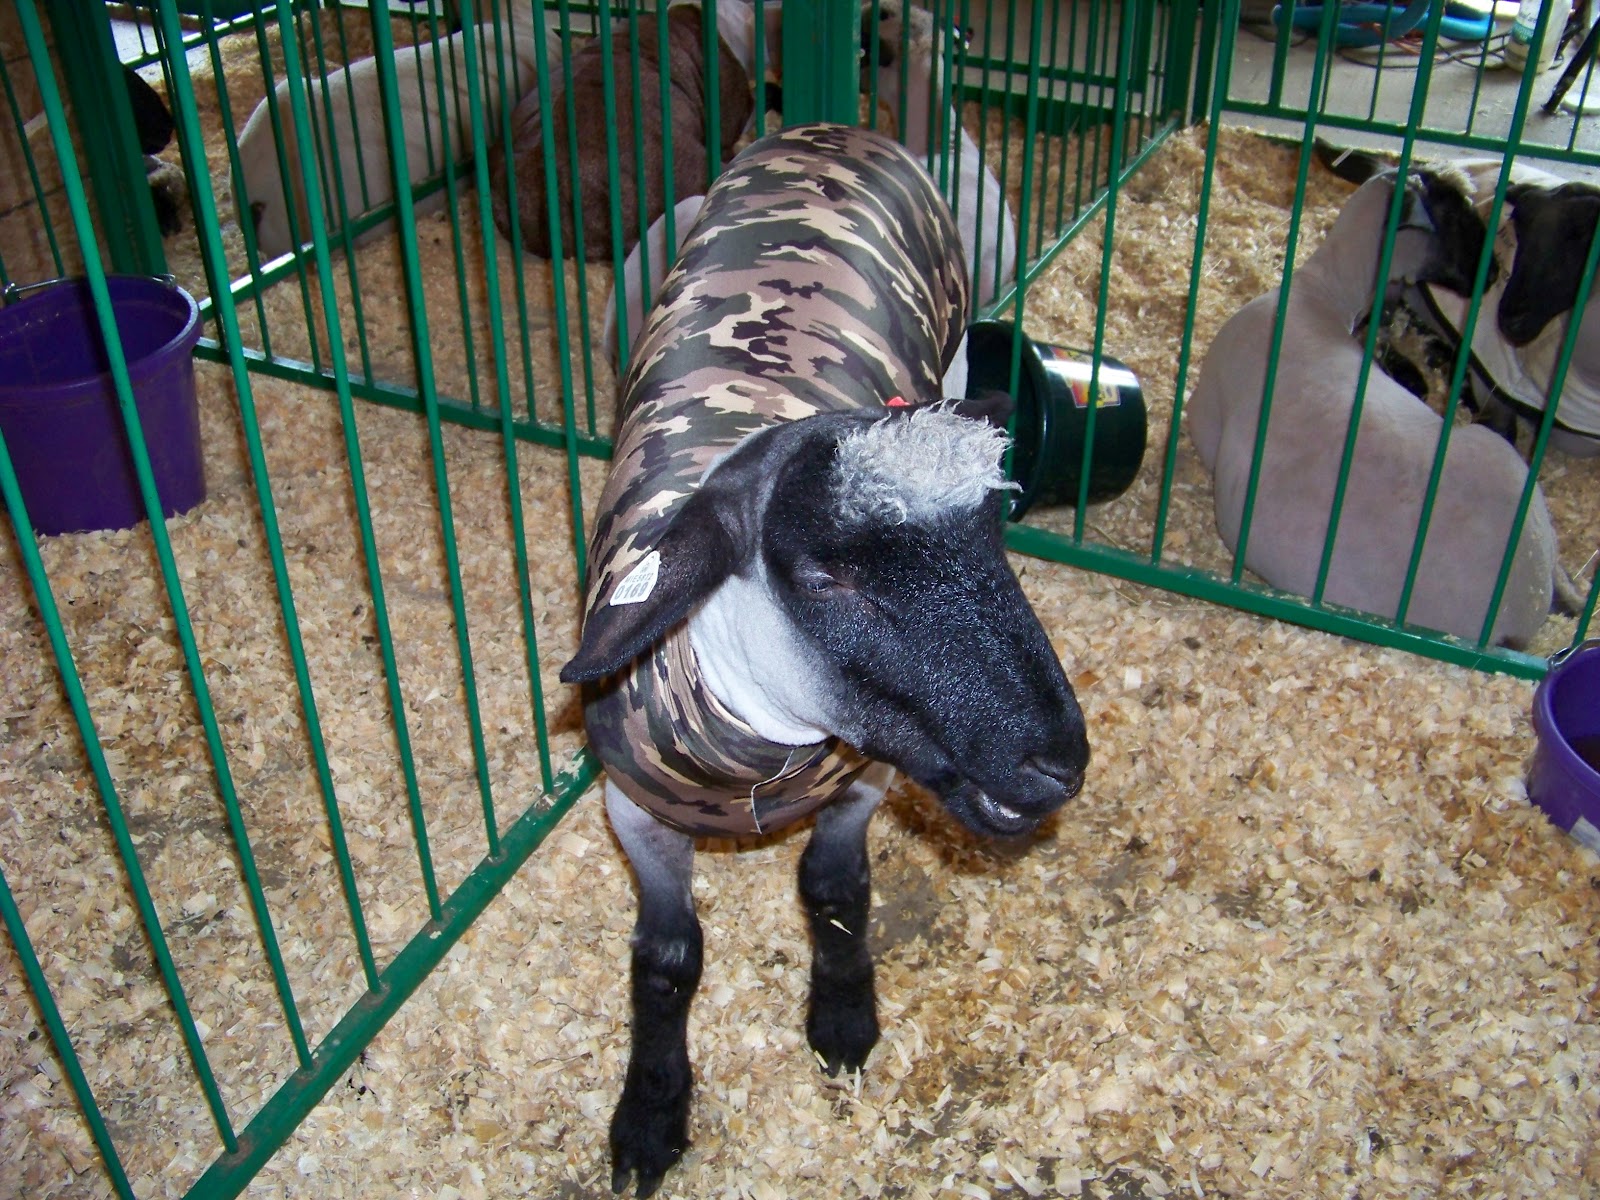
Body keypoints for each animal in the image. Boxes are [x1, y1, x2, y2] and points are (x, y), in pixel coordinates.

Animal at [557, 122, 1090, 1197]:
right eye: (825, 577)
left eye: (996, 533)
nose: (1059, 763)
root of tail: (835, 129)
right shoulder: (634, 811)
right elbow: (666, 960)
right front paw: (650, 1116)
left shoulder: (863, 779)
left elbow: (836, 892)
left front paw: (844, 1019)